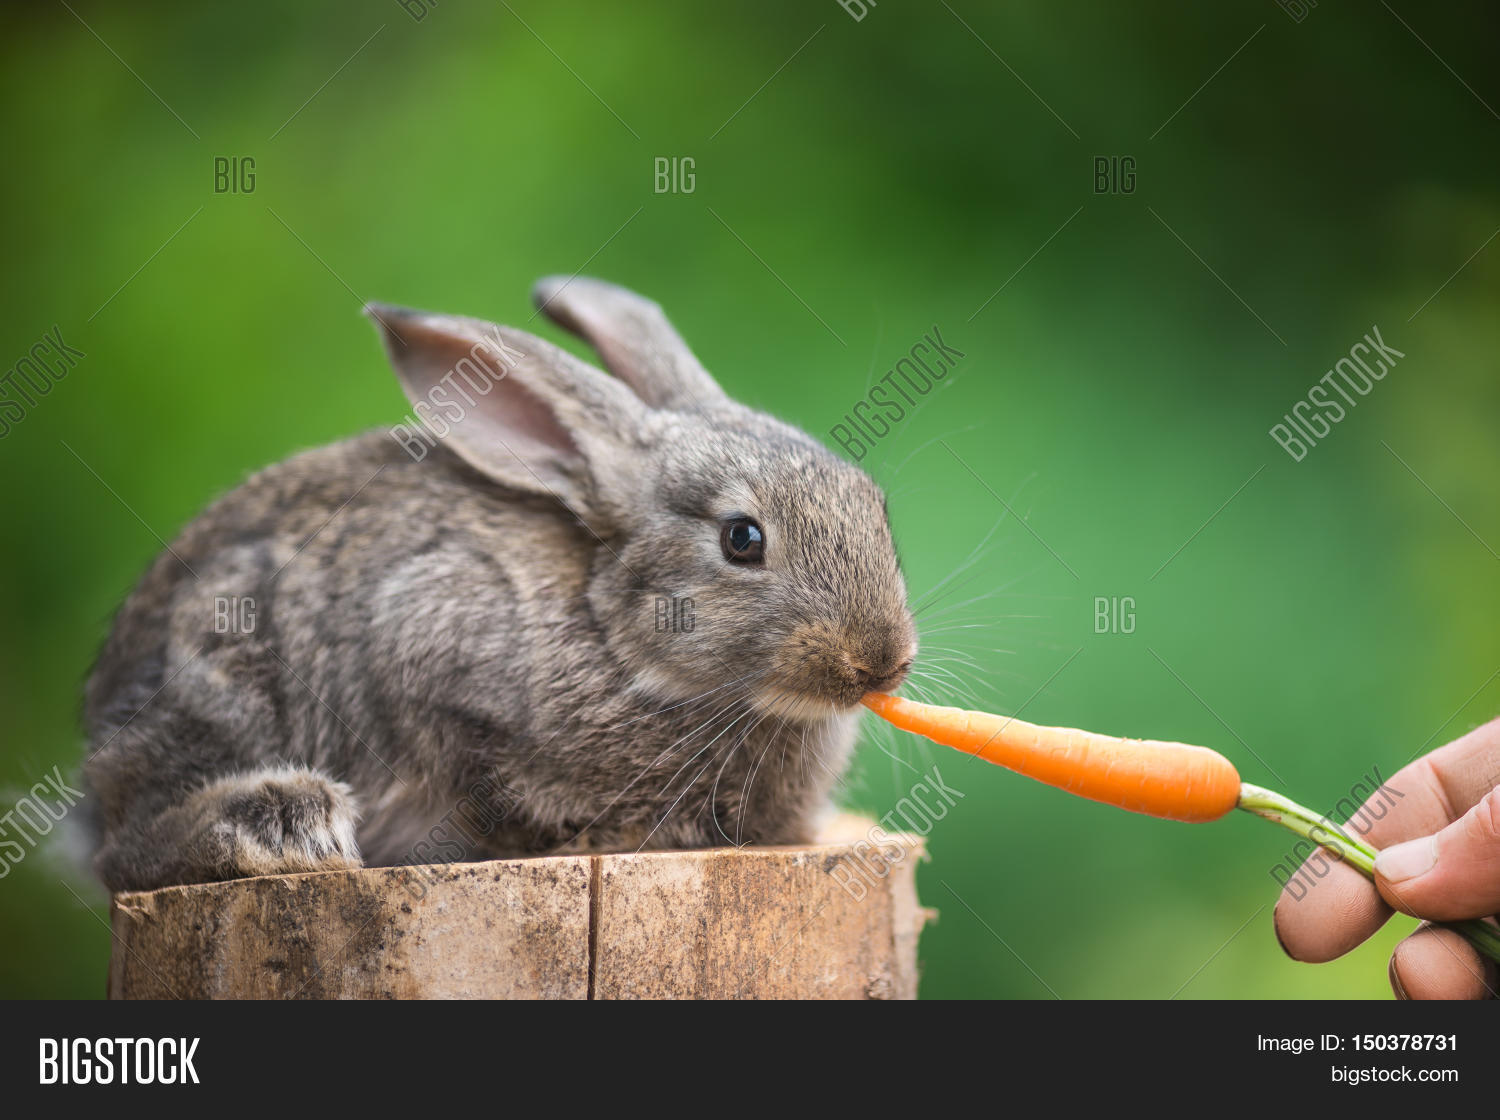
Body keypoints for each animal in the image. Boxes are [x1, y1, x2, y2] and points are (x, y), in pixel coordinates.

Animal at [79, 277, 917, 892]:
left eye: (876, 506)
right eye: (742, 540)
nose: (881, 661)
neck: (620, 642)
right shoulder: (426, 639)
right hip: (226, 665)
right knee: (124, 853)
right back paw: (281, 822)